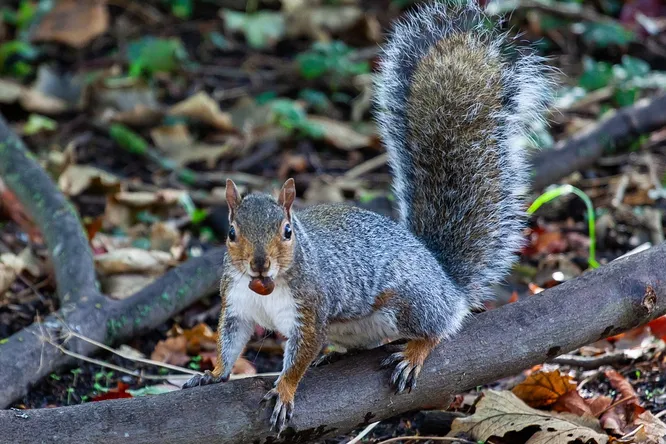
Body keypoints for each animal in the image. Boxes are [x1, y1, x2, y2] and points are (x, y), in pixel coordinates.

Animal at [182, 0, 548, 434]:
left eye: (287, 231)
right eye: (231, 232)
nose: (258, 264)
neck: (266, 288)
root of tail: (447, 283)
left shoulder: (312, 308)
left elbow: (300, 355)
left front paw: (285, 389)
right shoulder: (236, 303)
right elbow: (230, 340)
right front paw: (213, 373)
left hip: (410, 301)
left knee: (441, 327)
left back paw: (415, 351)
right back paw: (336, 355)